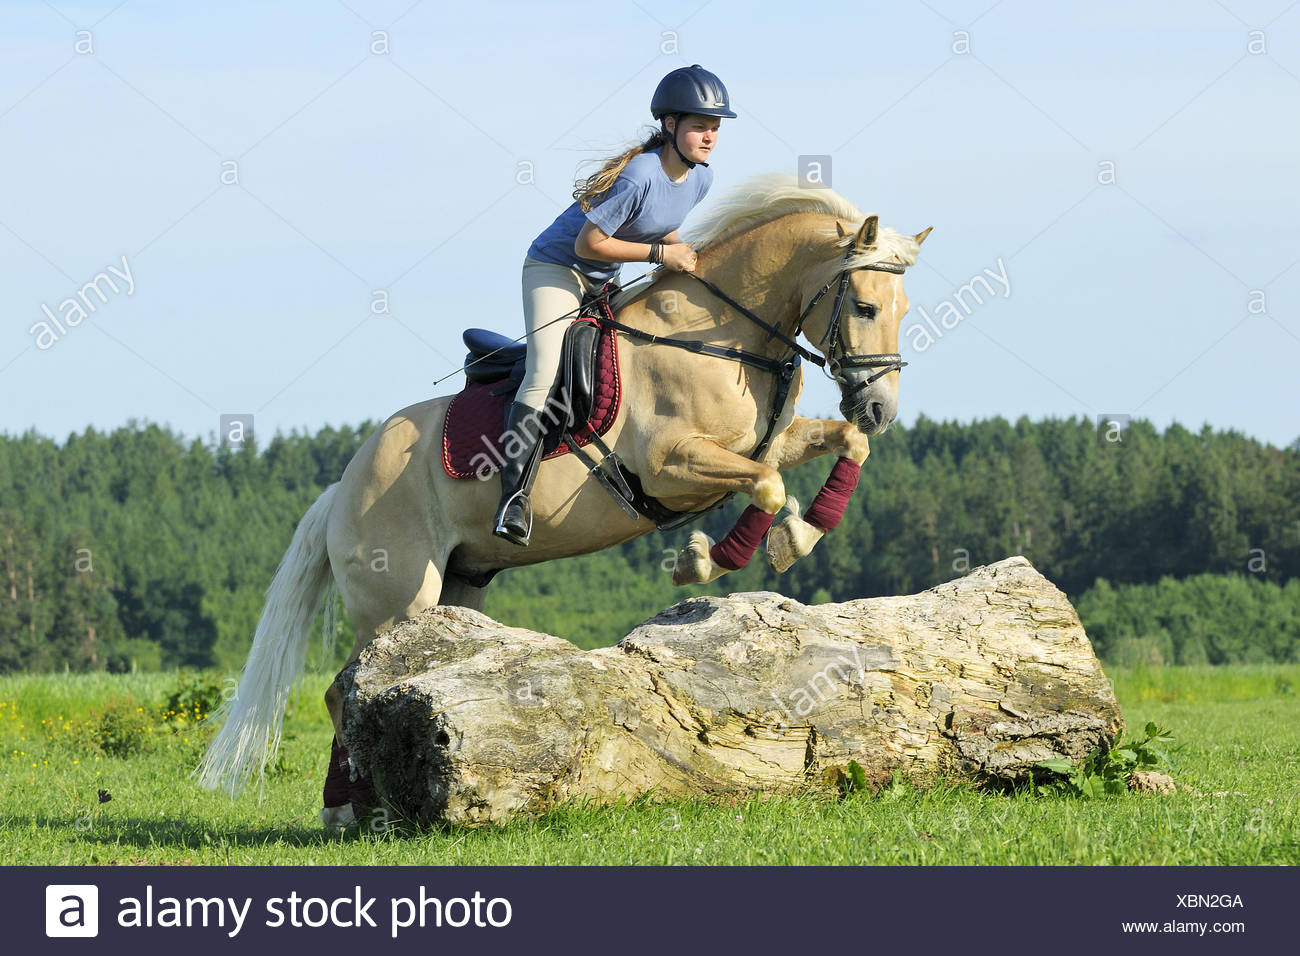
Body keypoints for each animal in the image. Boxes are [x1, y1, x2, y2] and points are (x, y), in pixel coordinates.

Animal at [193, 173, 931, 825]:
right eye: (865, 307)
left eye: (901, 312)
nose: (880, 408)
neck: (718, 334)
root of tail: (344, 484)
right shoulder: (669, 466)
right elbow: (768, 486)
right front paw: (707, 557)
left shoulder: (763, 447)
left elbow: (835, 452)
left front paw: (802, 532)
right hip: (398, 597)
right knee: (344, 689)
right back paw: (347, 810)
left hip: (458, 590)